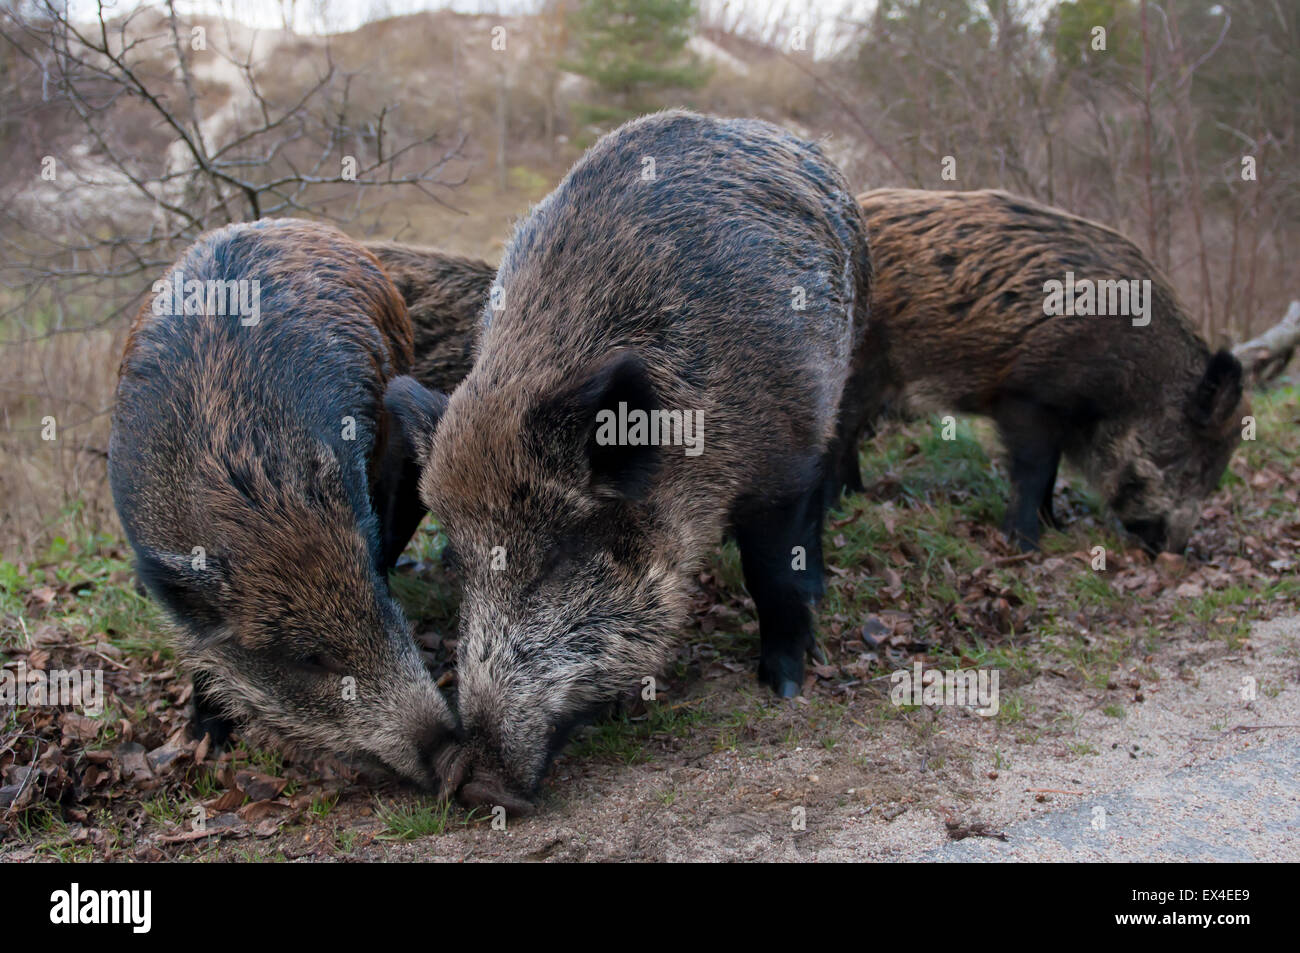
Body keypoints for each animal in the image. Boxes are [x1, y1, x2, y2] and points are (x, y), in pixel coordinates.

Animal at [389, 110, 872, 810]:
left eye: (560, 556)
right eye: (462, 562)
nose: (475, 784)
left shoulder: (783, 462)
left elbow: (774, 574)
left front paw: (783, 687)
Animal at [835, 188, 1248, 554]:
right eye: (1194, 466)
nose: (1173, 552)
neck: (1137, 382)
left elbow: (1050, 475)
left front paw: (1056, 526)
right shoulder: (1027, 396)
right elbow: (1034, 472)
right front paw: (1027, 545)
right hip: (861, 369)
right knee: (842, 434)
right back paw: (850, 499)